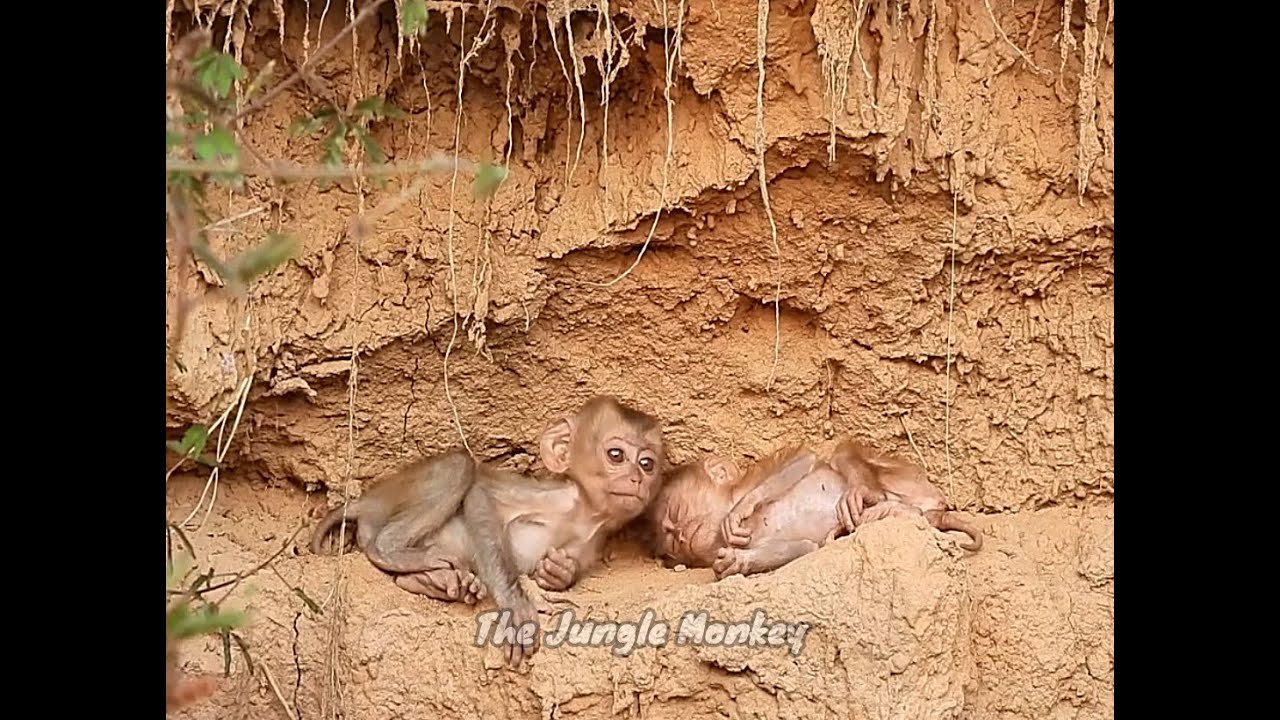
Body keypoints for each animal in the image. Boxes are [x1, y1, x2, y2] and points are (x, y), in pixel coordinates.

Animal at [309, 395, 666, 667]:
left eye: (647, 464)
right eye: (616, 455)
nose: (636, 478)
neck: (585, 515)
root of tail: (367, 501)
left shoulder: (591, 542)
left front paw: (558, 572)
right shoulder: (555, 497)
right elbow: (479, 497)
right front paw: (515, 604)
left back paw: (435, 581)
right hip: (392, 503)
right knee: (460, 465)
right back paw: (394, 551)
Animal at [647, 444, 854, 580]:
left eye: (677, 511)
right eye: (673, 545)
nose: (680, 535)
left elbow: (806, 458)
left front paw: (739, 510)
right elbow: (808, 546)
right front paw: (735, 562)